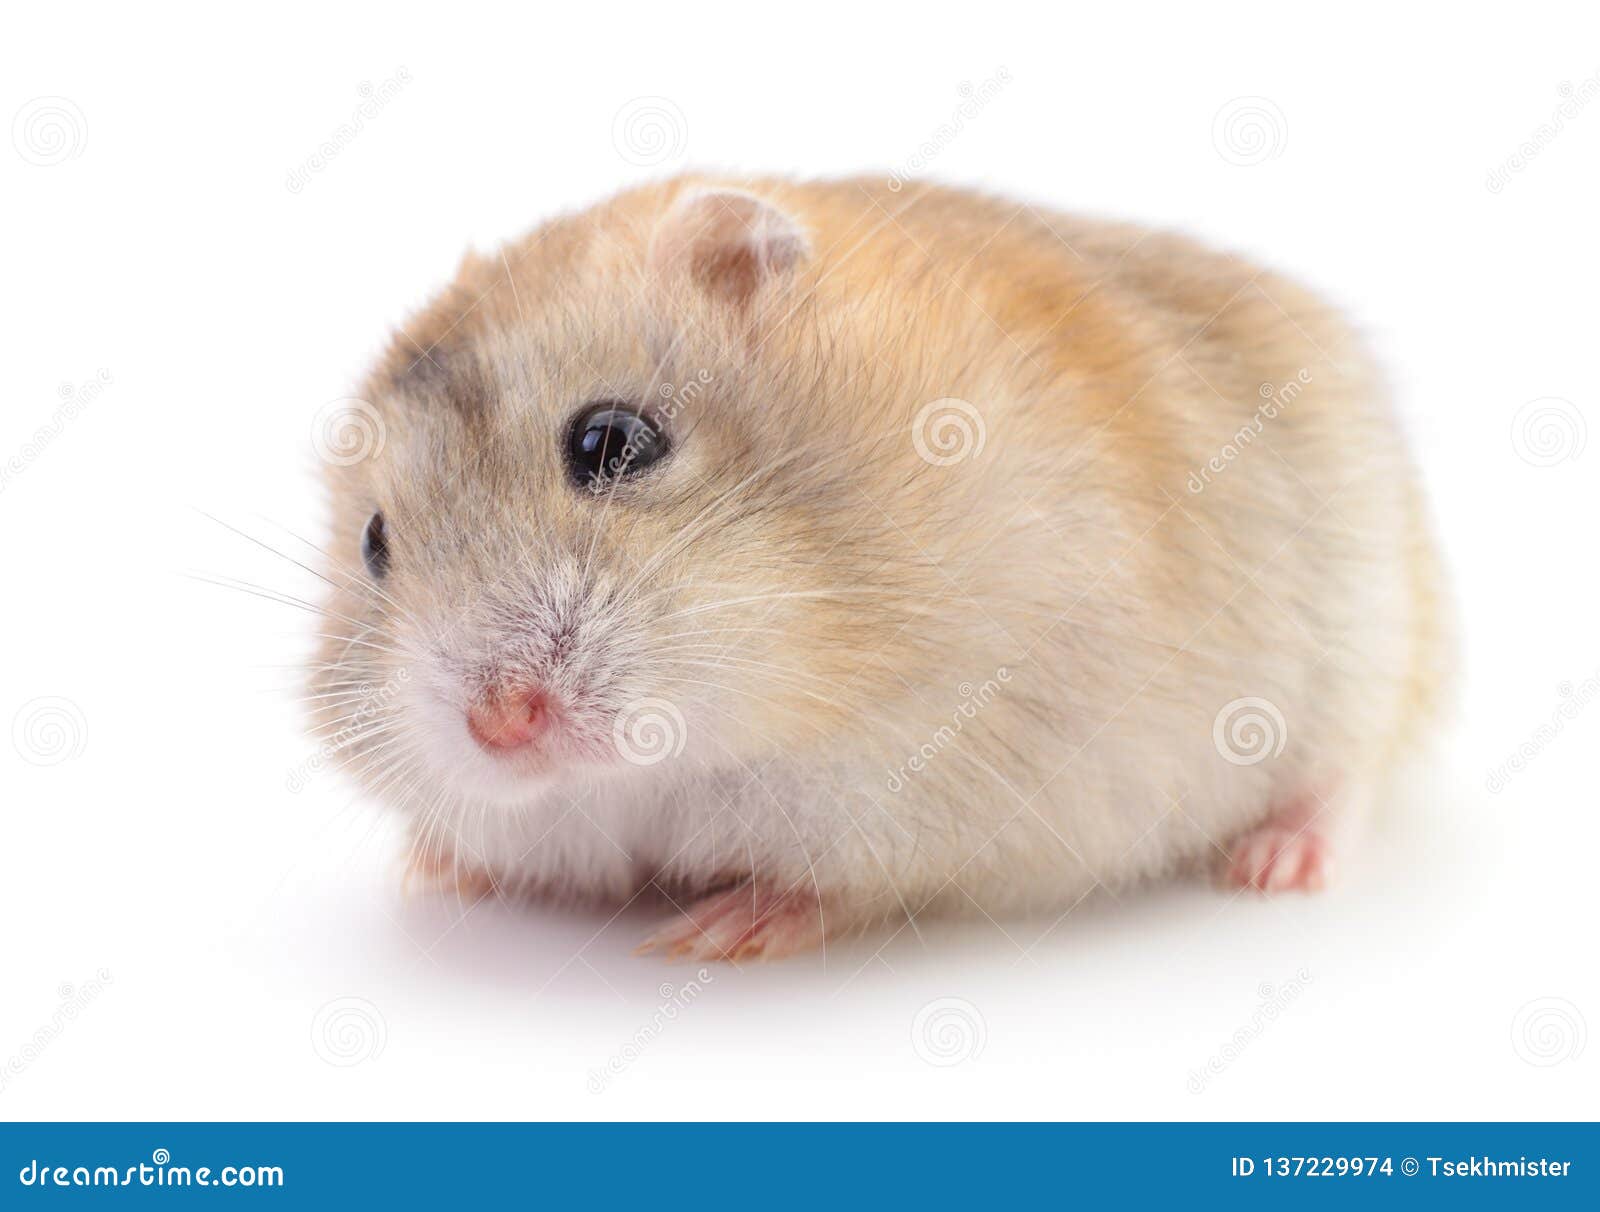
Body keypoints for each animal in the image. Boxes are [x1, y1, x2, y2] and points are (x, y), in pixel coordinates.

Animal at [309, 175, 1452, 961]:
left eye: (611, 442)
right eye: (374, 543)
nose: (501, 726)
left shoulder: (945, 775)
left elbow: (833, 885)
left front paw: (714, 931)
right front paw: (430, 873)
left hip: (1367, 632)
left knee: (1347, 771)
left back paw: (1275, 867)